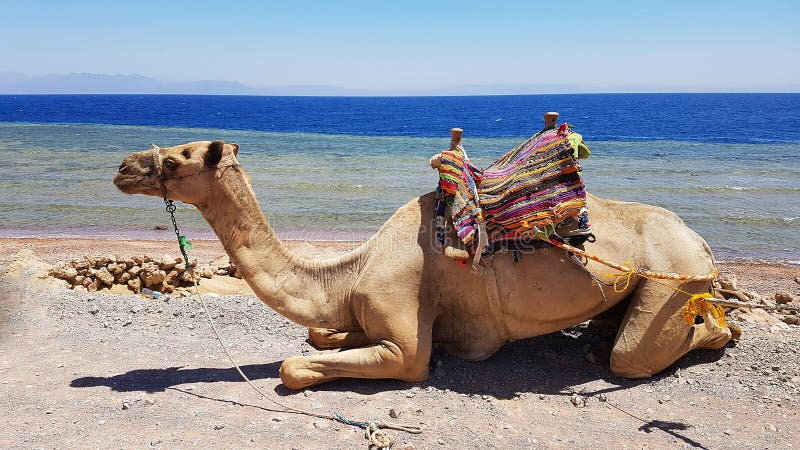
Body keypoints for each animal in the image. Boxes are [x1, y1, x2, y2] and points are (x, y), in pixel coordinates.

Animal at [113, 132, 733, 390]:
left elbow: (296, 366)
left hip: (676, 277)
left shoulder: (404, 343)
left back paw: (716, 328)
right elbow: (319, 334)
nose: (122, 166)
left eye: (177, 159)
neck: (350, 272)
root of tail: (700, 242)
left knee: (642, 353)